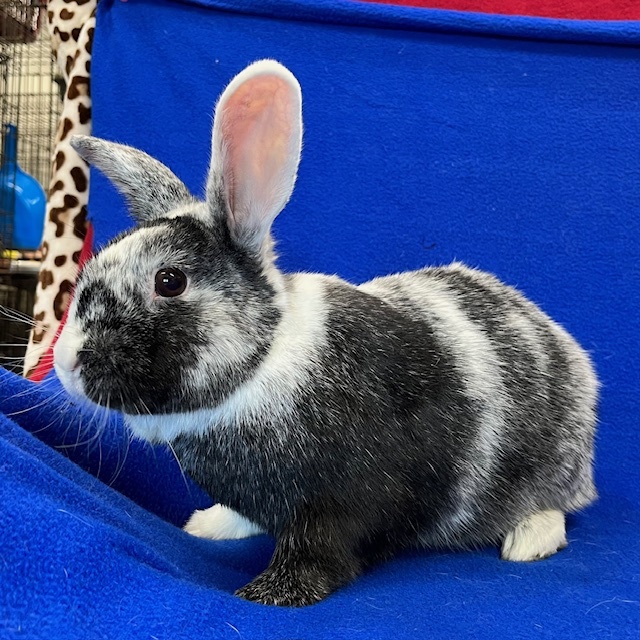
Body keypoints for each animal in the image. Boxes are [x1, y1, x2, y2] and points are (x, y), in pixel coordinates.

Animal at [53, 60, 598, 607]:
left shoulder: (339, 506)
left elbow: (319, 554)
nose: (65, 363)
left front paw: (269, 594)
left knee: (555, 504)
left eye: (169, 281)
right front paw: (211, 525)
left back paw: (529, 541)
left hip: (549, 467)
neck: (259, 365)